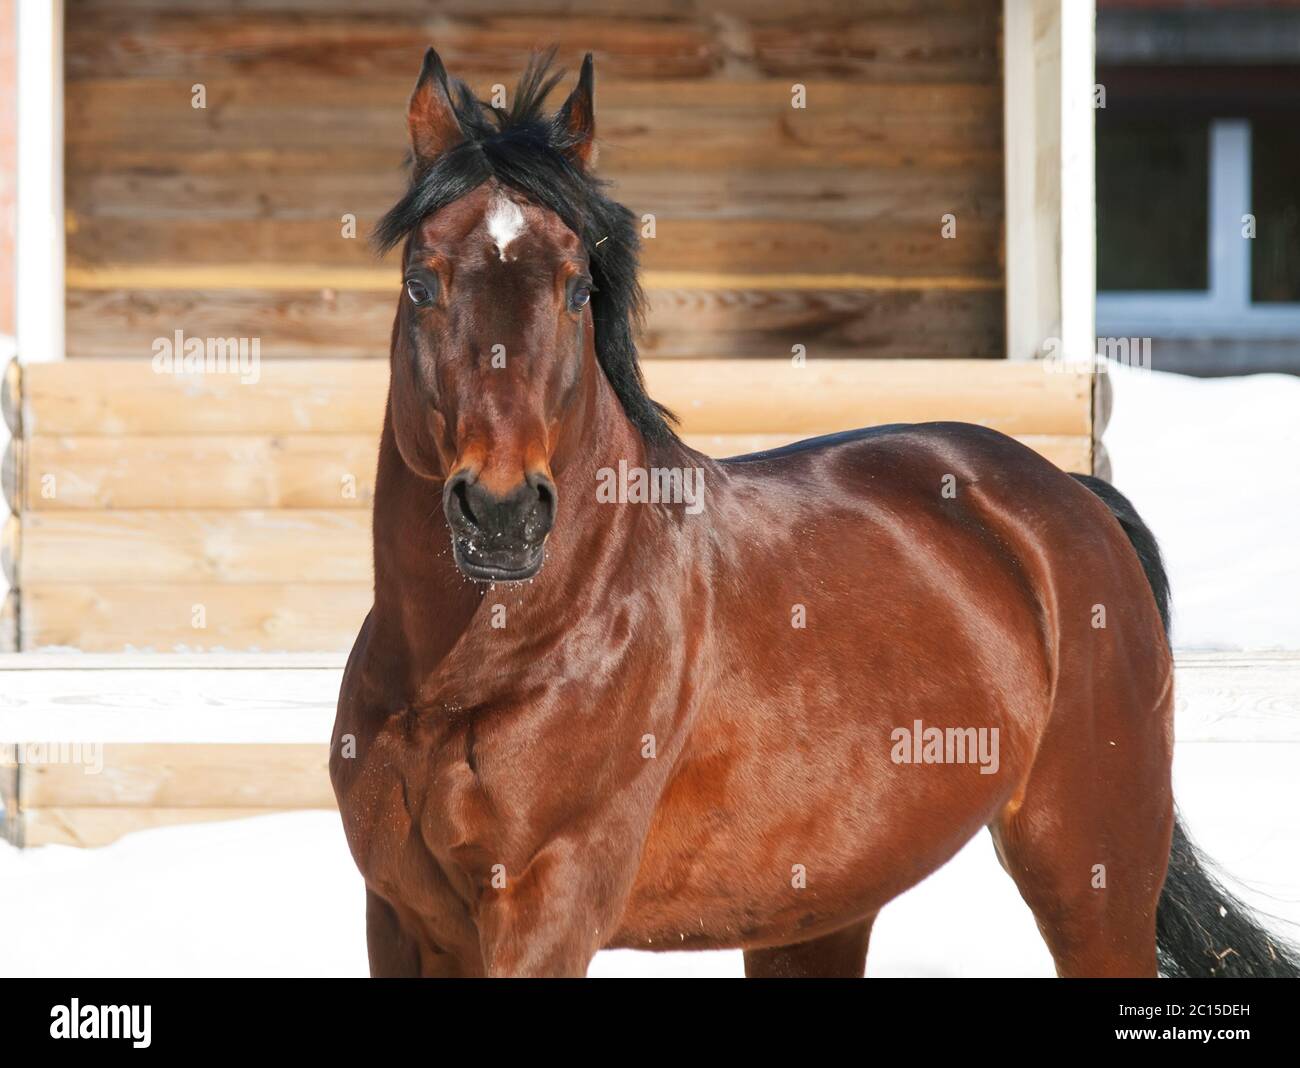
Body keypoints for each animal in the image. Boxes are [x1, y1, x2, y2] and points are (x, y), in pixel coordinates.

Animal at [330, 49, 1297, 979]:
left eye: (576, 289)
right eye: (421, 285)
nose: (501, 515)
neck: (482, 668)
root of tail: (1069, 500)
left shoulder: (543, 910)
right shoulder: (401, 920)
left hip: (1090, 882)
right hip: (817, 915)